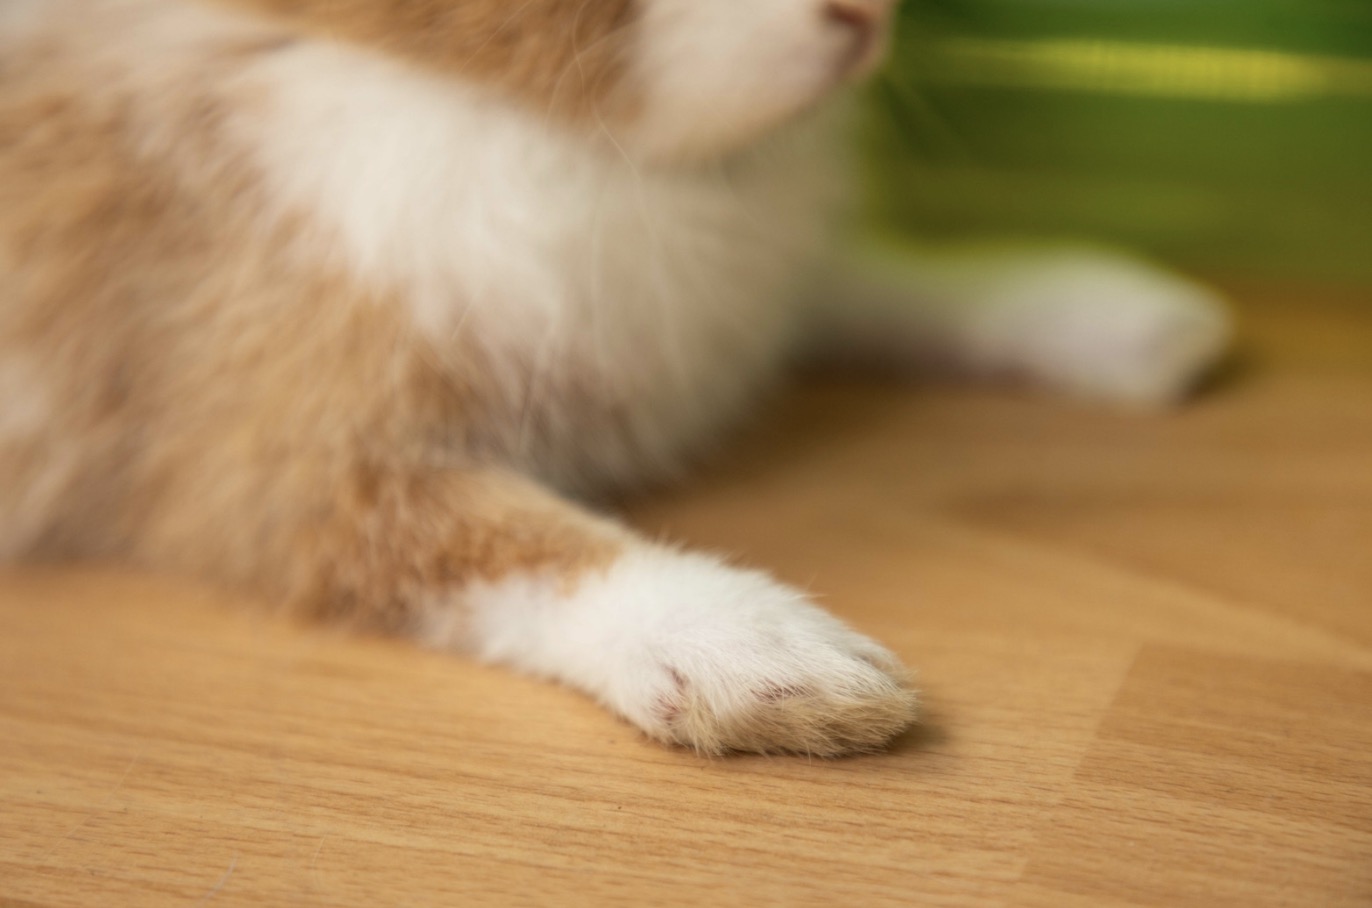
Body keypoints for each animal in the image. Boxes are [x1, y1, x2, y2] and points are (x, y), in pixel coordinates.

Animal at [0, 0, 1227, 755]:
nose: (863, 14)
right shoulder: (302, 466)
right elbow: (524, 548)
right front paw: (787, 670)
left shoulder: (774, 296)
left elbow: (890, 286)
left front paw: (1141, 322)